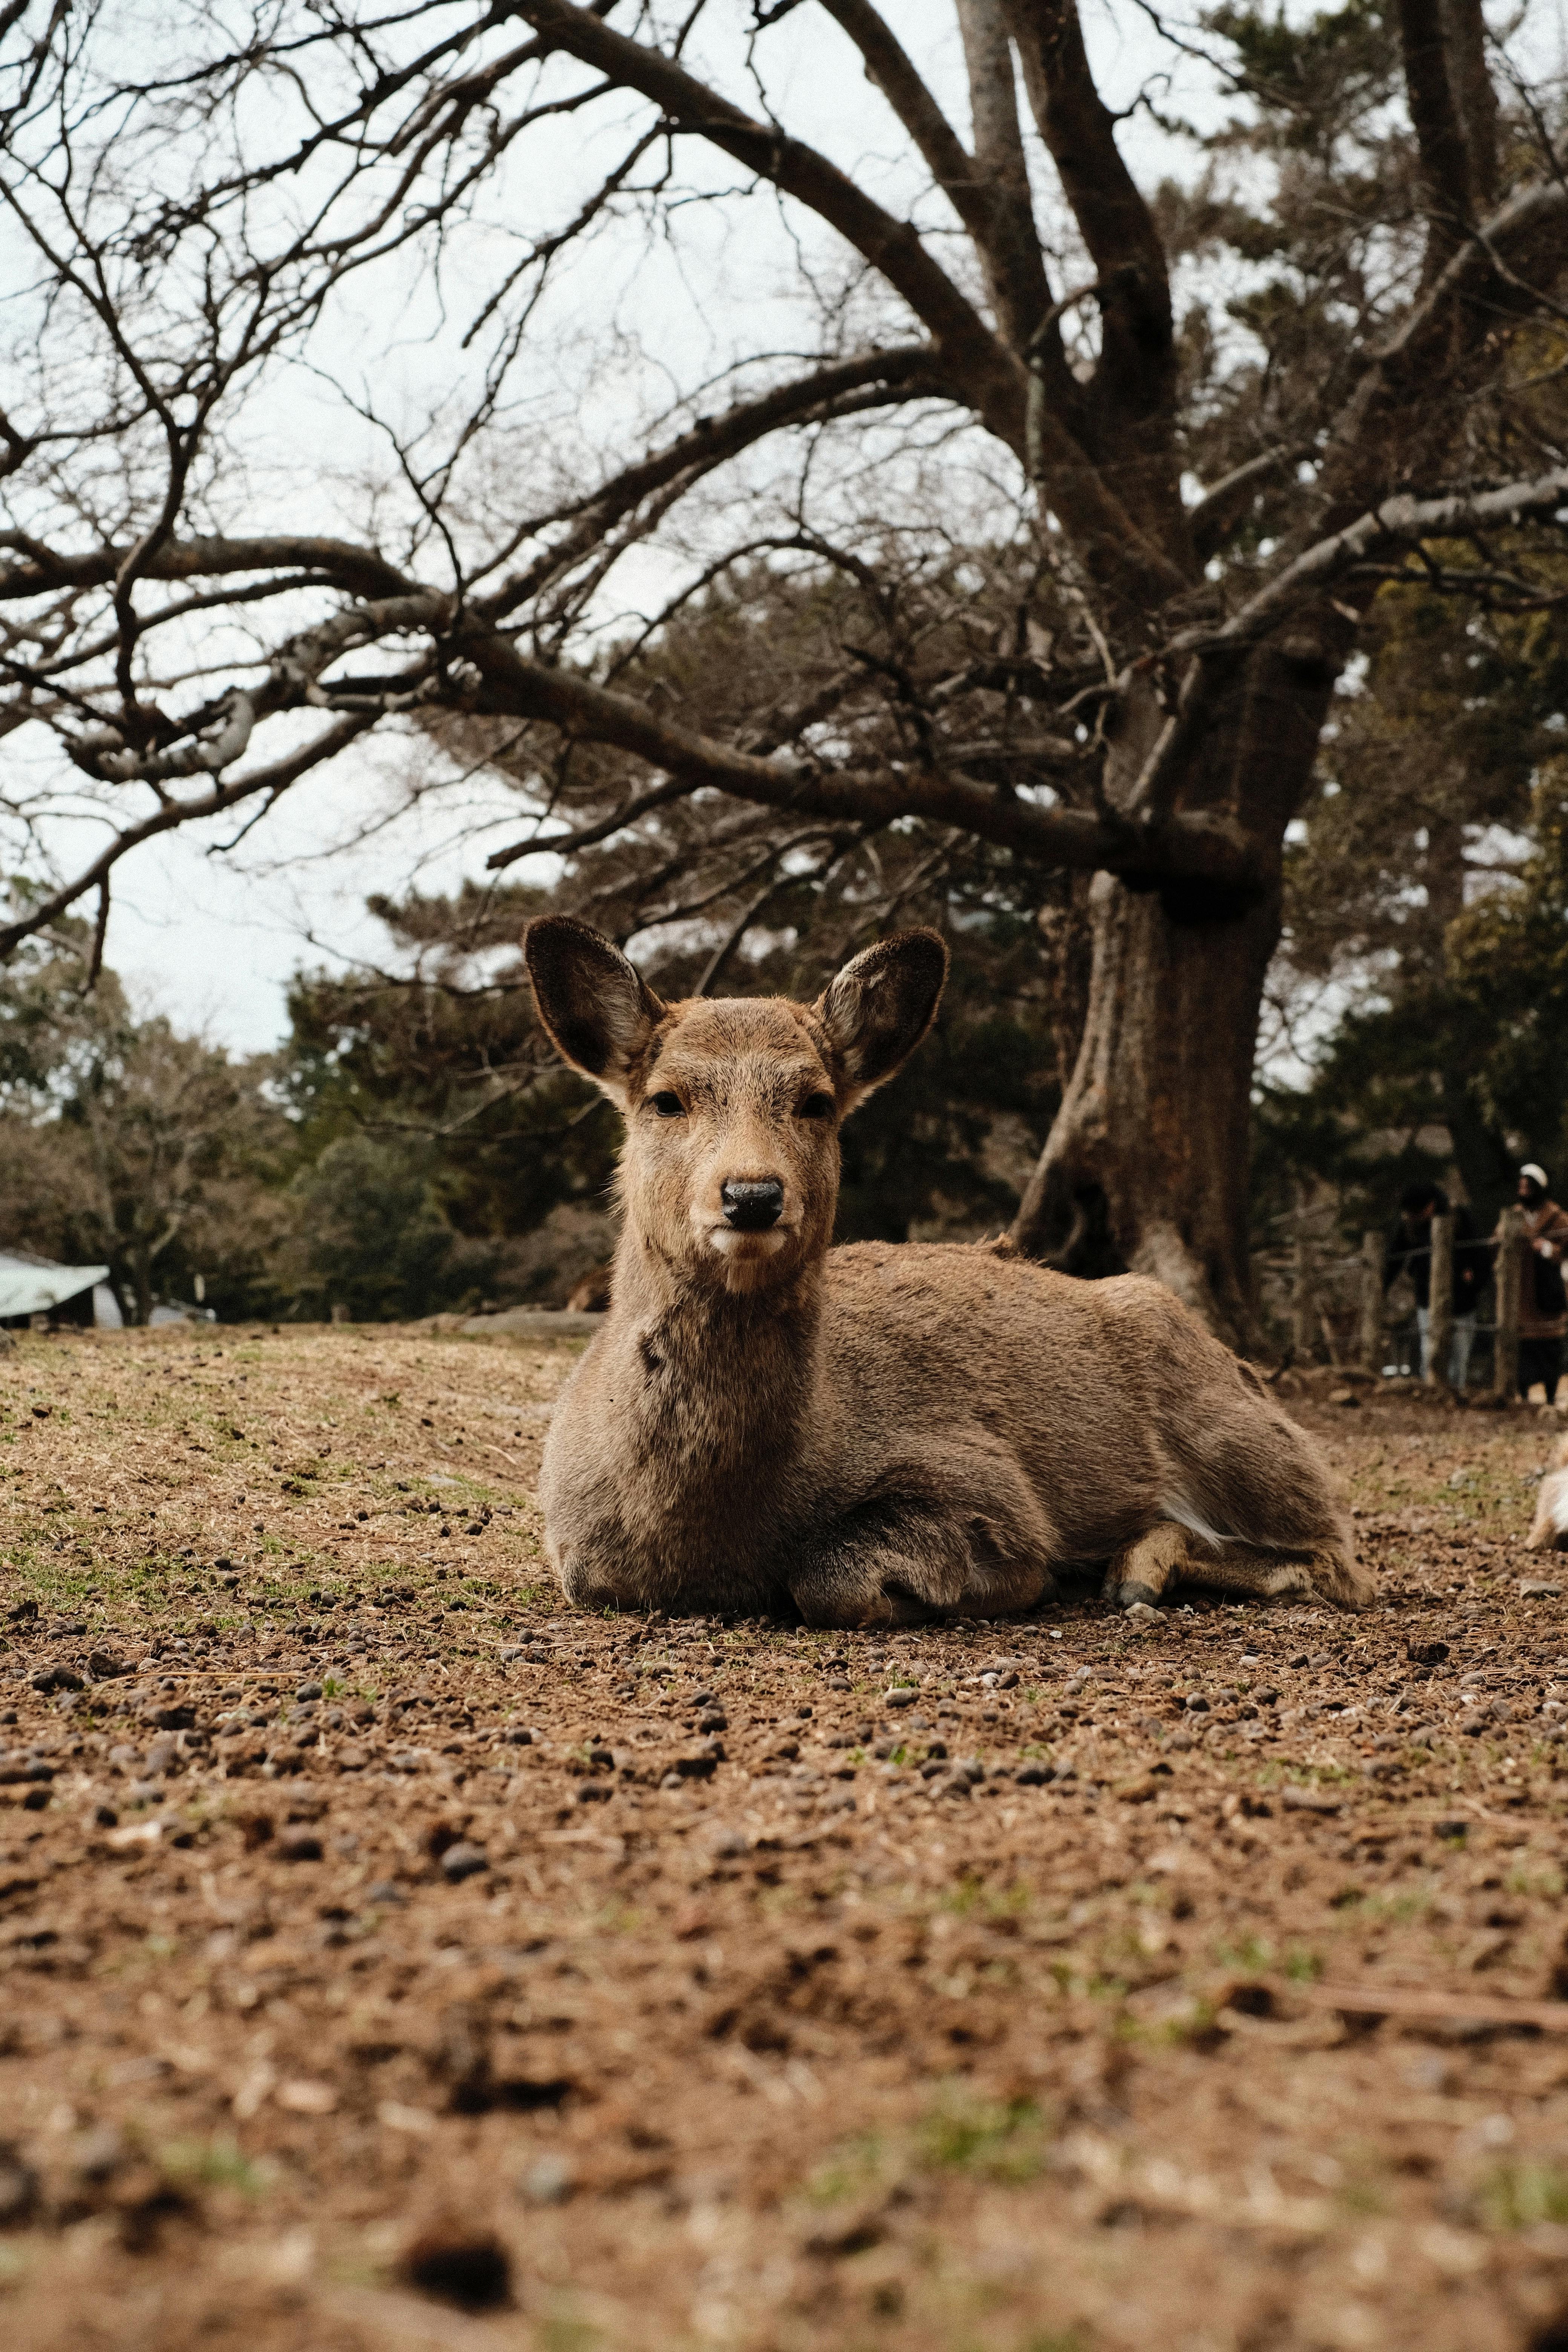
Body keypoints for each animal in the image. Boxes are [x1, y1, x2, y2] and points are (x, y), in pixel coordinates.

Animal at [524, 916, 1372, 1627]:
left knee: (1339, 1557)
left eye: (817, 1101)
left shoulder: (983, 1481)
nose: (752, 1195)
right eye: (665, 1099)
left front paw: (1025, 1583)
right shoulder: (579, 1562)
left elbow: (831, 1576)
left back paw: (1136, 1572)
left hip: (1242, 1439)